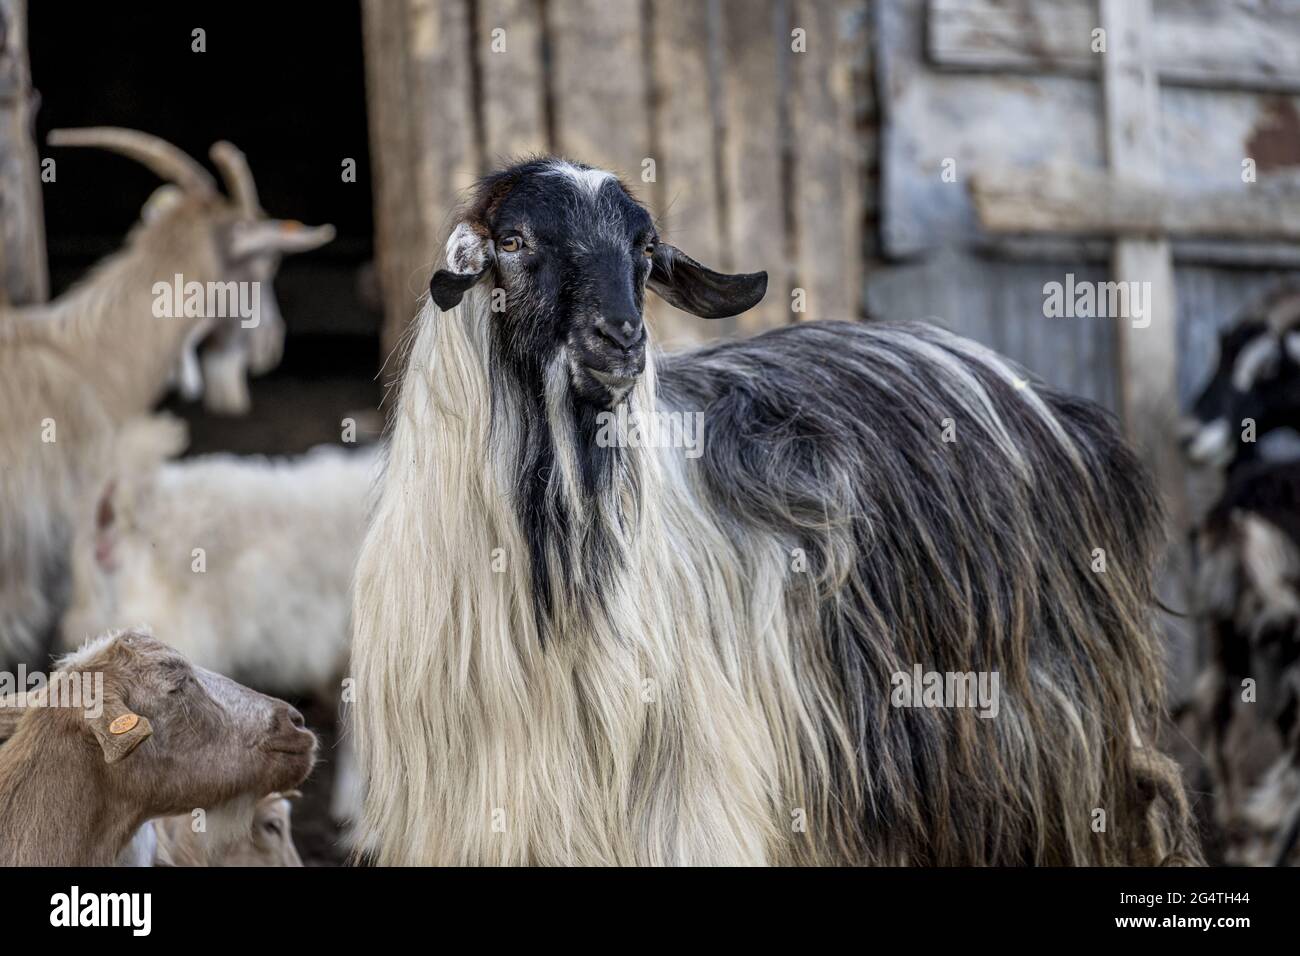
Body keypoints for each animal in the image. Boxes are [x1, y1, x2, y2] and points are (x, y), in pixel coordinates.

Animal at [351, 158, 1199, 866]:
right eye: (516, 240)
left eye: (644, 247)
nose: (620, 337)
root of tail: (1045, 401)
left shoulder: (685, 807)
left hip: (1060, 753)